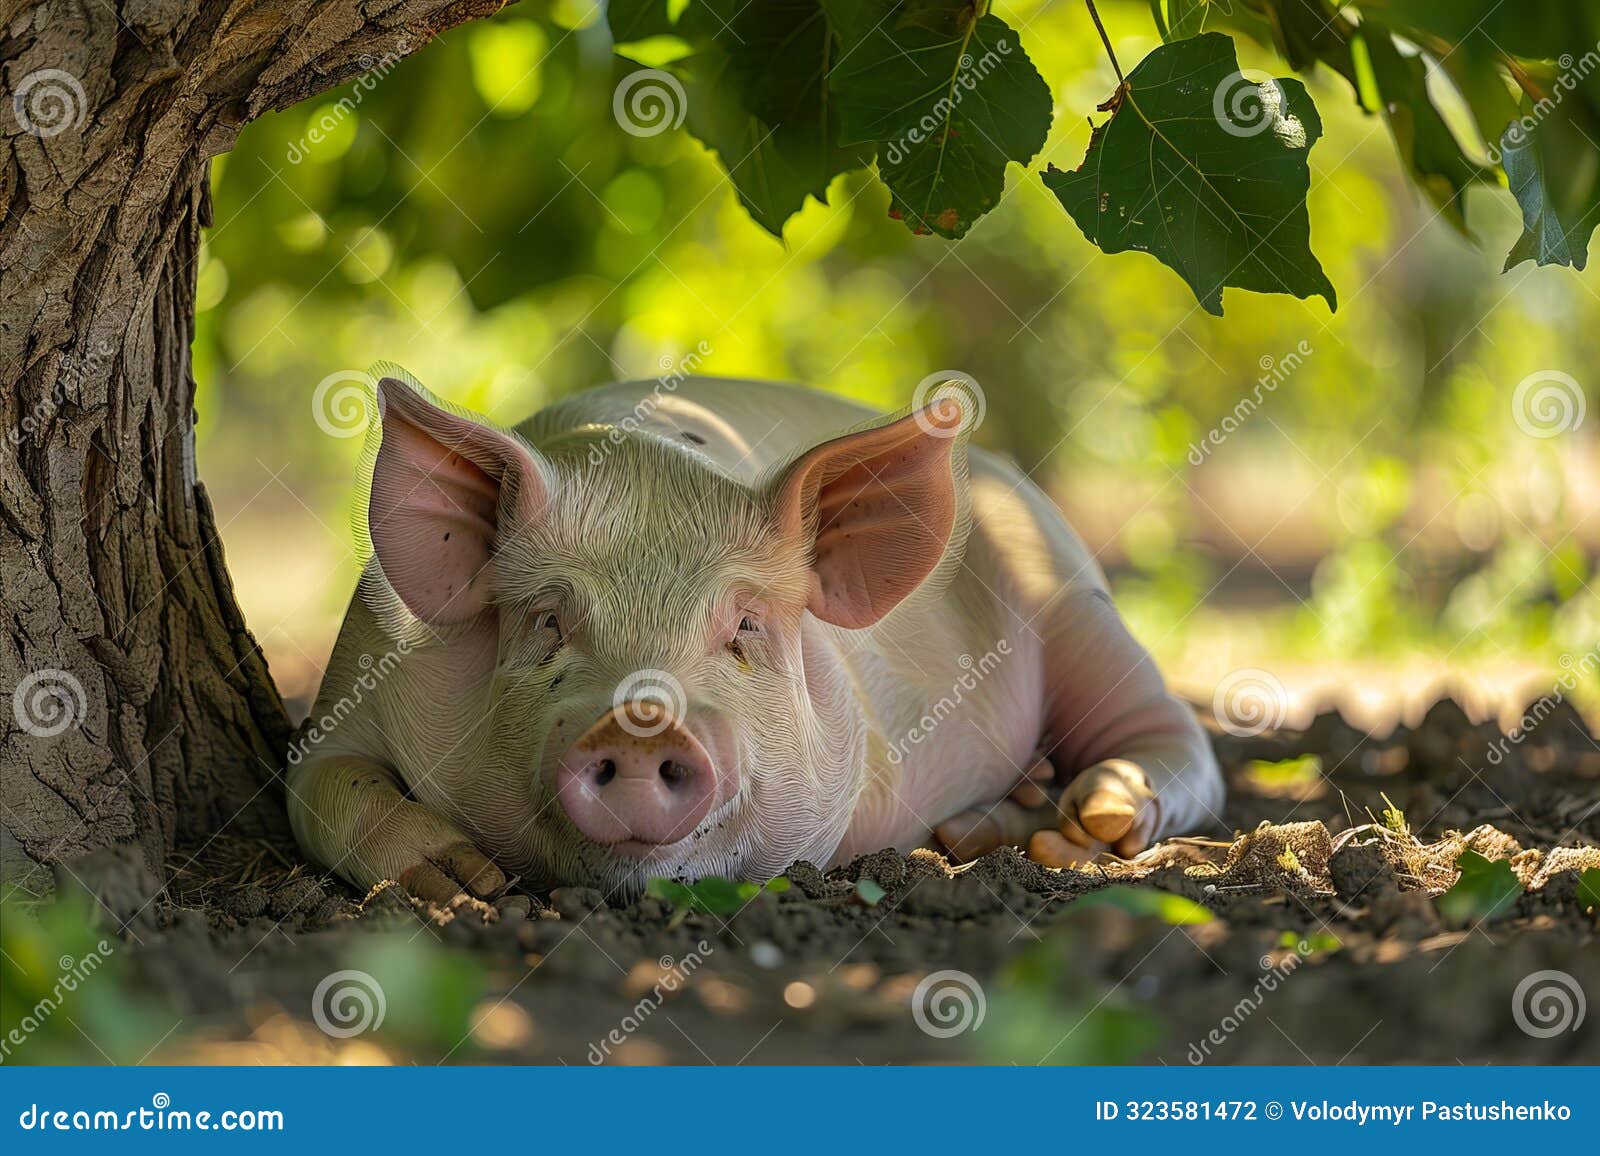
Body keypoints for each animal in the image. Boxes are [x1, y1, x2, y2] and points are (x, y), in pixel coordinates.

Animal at [286, 368, 1223, 903]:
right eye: (548, 621)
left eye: (744, 628)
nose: (641, 722)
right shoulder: (356, 677)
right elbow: (323, 782)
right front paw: (460, 885)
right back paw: (978, 837)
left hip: (1068, 590)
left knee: (1174, 735)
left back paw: (1090, 821)